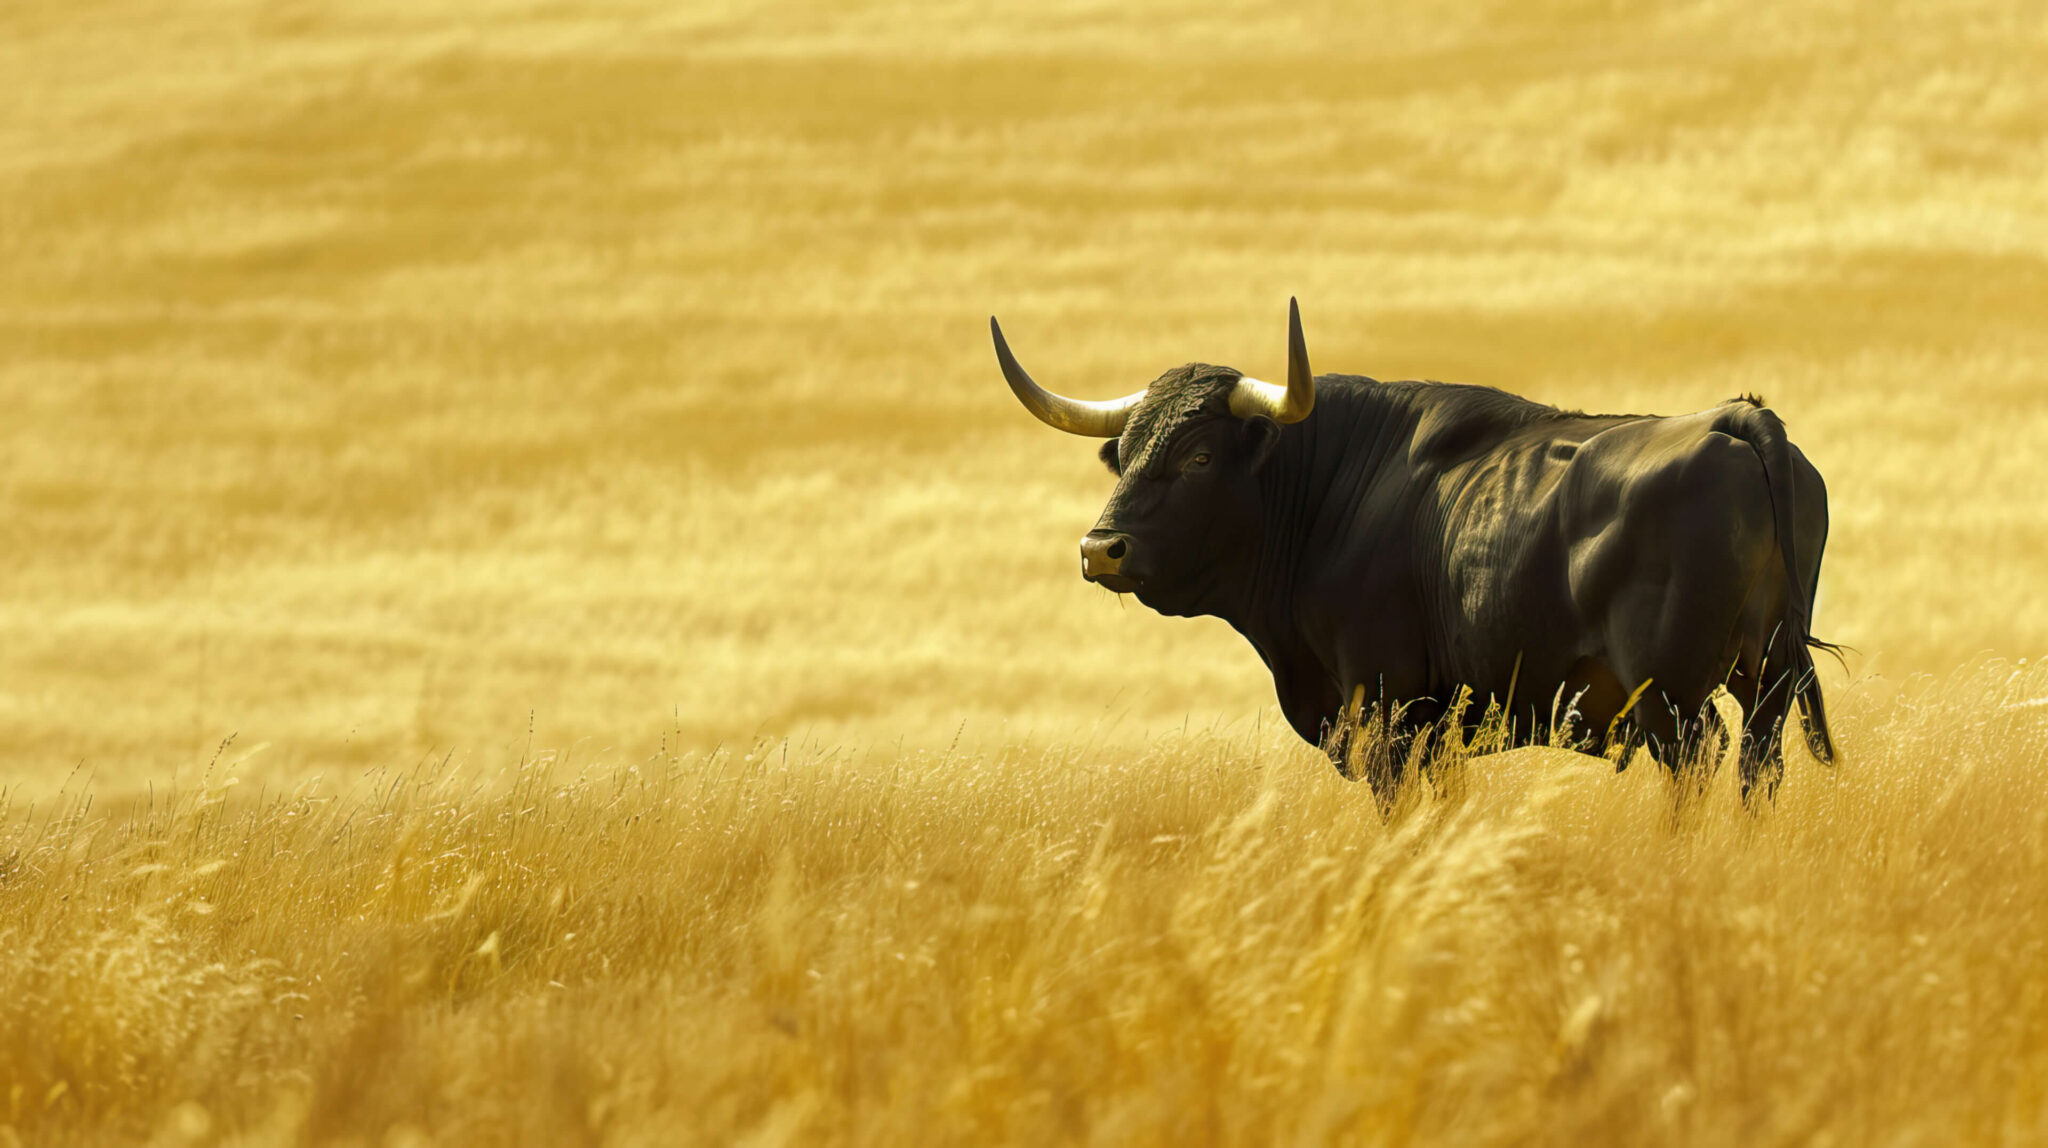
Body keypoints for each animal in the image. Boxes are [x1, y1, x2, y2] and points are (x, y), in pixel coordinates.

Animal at [992, 299, 1837, 802]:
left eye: (1199, 456)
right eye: (1124, 454)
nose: (1100, 548)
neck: (1331, 494)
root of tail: (1733, 420)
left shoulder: (1386, 714)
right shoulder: (1440, 733)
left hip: (1670, 695)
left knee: (1697, 768)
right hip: (1764, 680)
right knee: (1758, 767)